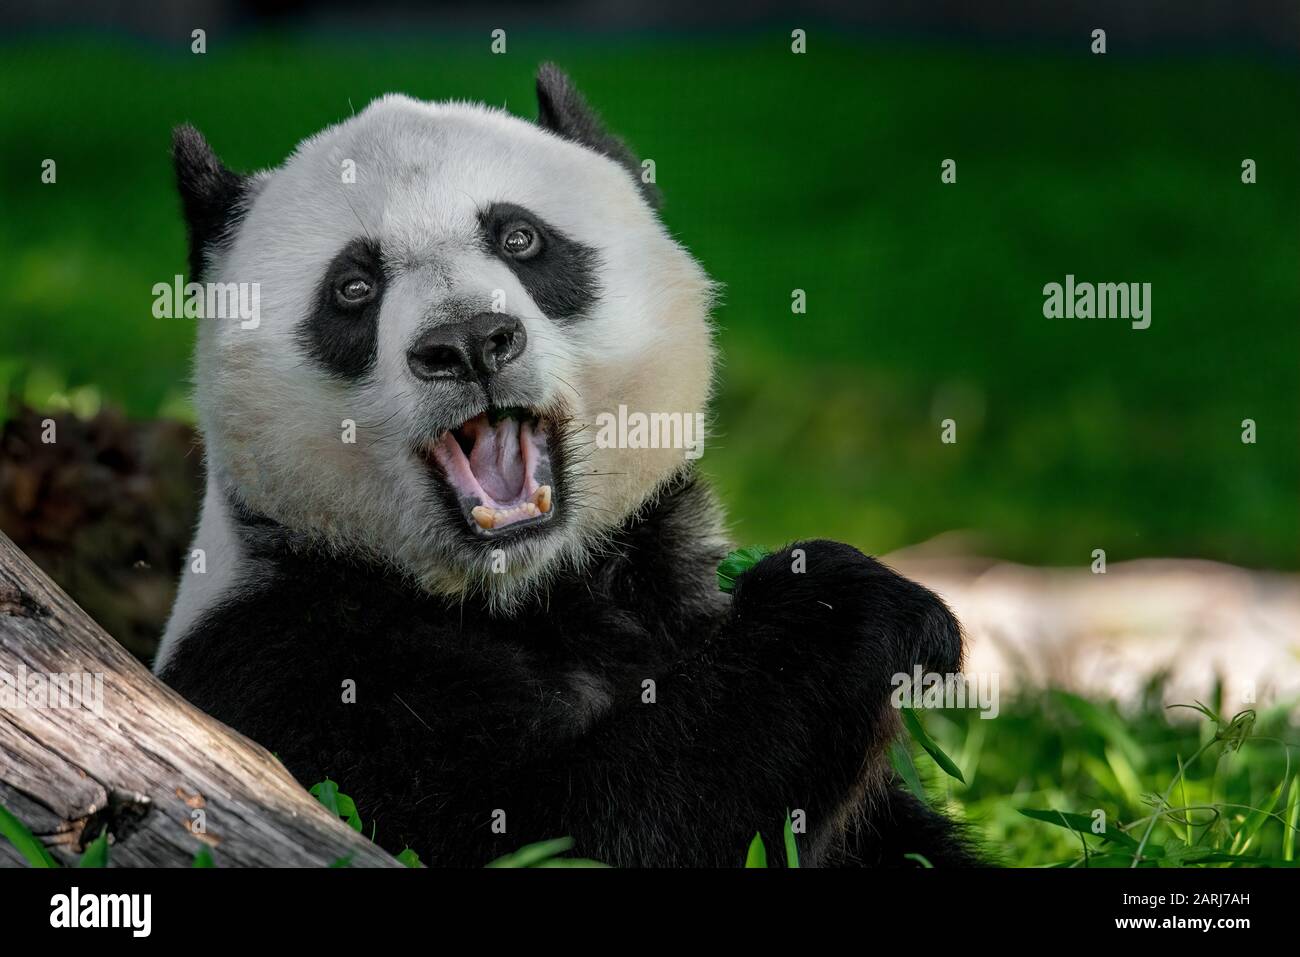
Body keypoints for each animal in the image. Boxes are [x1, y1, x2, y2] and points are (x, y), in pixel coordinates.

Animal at [155, 64, 981, 868]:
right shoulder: (289, 668)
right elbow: (568, 831)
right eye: (353, 286)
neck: (529, 587)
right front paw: (859, 608)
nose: (469, 340)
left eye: (520, 236)